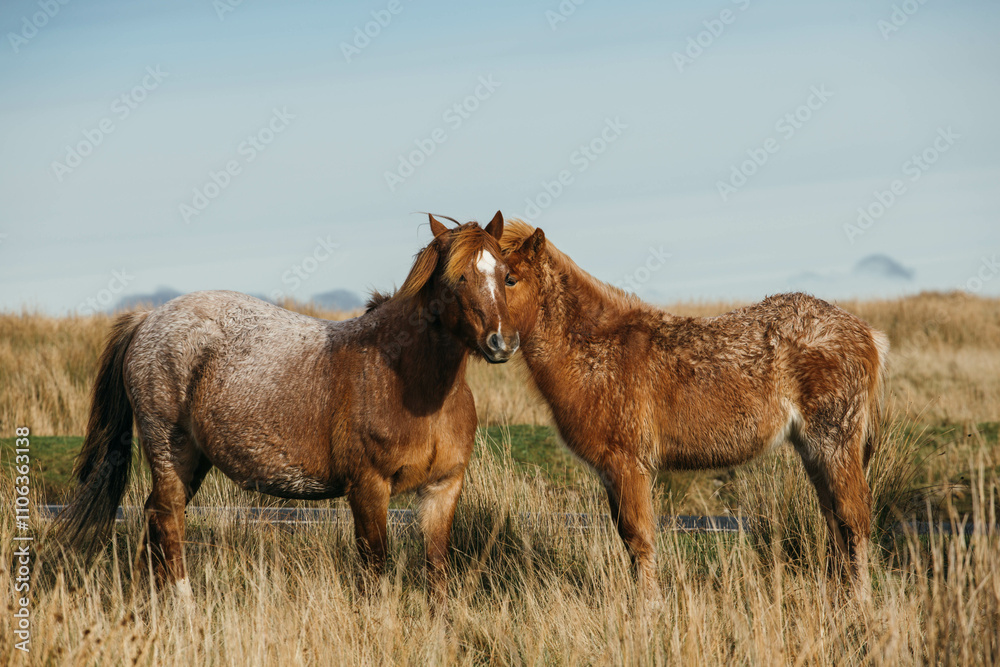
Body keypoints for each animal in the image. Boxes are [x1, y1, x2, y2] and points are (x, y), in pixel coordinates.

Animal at [56, 212, 520, 606]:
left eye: (507, 276)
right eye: (456, 278)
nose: (502, 342)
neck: (408, 381)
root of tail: (148, 319)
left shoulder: (443, 489)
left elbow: (437, 569)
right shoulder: (368, 489)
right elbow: (374, 567)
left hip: (193, 461)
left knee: (154, 518)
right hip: (171, 451)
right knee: (167, 518)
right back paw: (184, 604)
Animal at [500, 219, 888, 595]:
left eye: (509, 278)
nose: (494, 343)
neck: (597, 349)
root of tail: (866, 333)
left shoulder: (628, 464)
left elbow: (638, 537)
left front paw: (649, 605)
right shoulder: (612, 471)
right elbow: (629, 539)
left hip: (835, 443)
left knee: (853, 517)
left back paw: (859, 599)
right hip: (814, 450)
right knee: (834, 520)